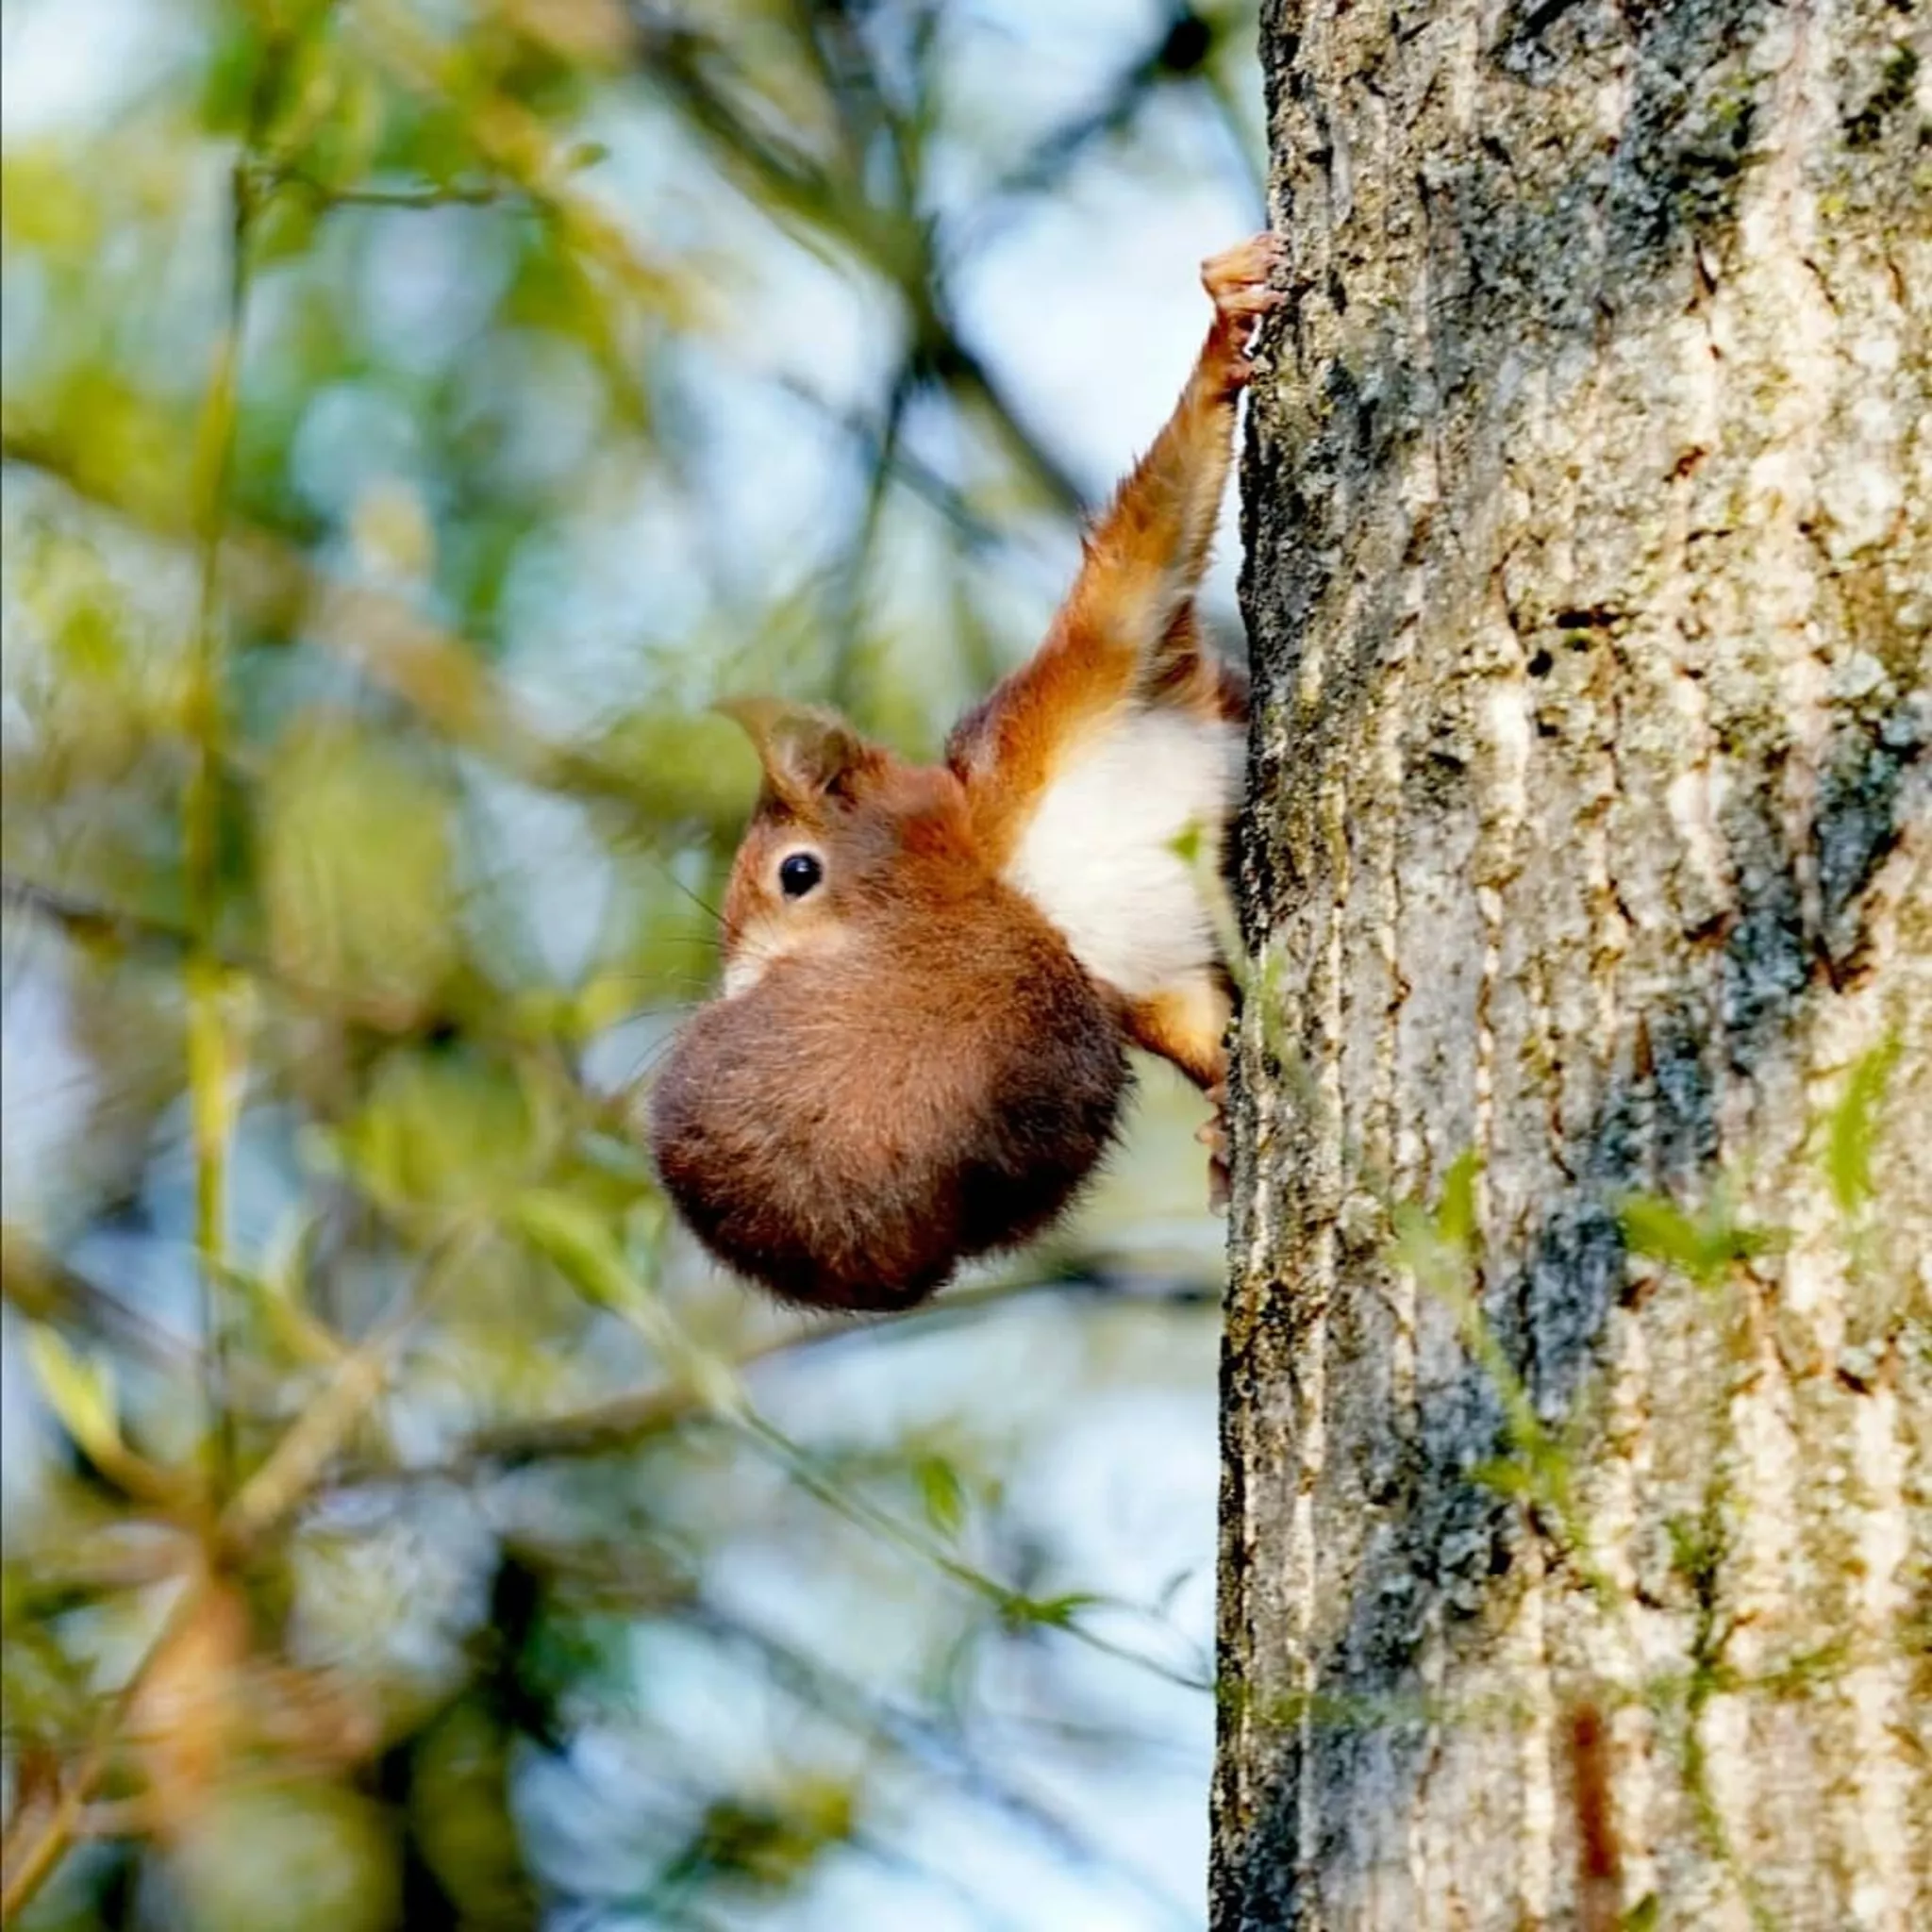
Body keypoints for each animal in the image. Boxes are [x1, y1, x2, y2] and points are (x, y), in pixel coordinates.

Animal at [648, 233, 1282, 1311]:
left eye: (796, 873)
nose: (739, 984)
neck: (1009, 871)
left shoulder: (1074, 697)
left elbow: (1139, 559)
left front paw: (1221, 328)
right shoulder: (1140, 979)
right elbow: (1202, 1026)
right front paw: (1218, 1126)